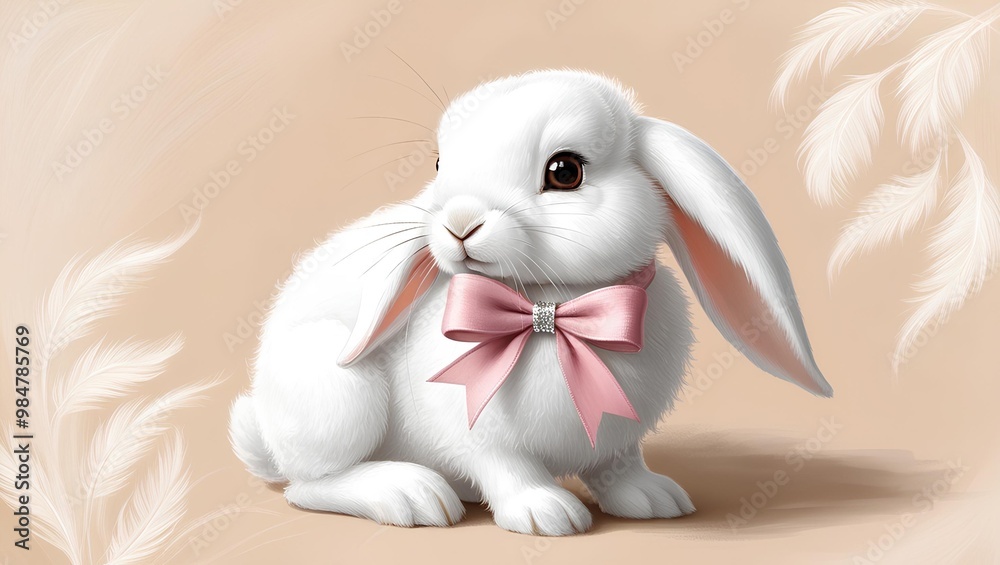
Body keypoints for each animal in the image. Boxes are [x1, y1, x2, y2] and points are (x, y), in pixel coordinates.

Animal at [229, 69, 832, 536]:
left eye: (565, 171)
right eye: (440, 163)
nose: (458, 222)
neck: (552, 310)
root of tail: (268, 436)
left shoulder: (617, 438)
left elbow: (620, 467)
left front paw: (654, 499)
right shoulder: (481, 435)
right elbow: (508, 467)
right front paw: (548, 514)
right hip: (335, 390)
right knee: (309, 485)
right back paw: (411, 494)